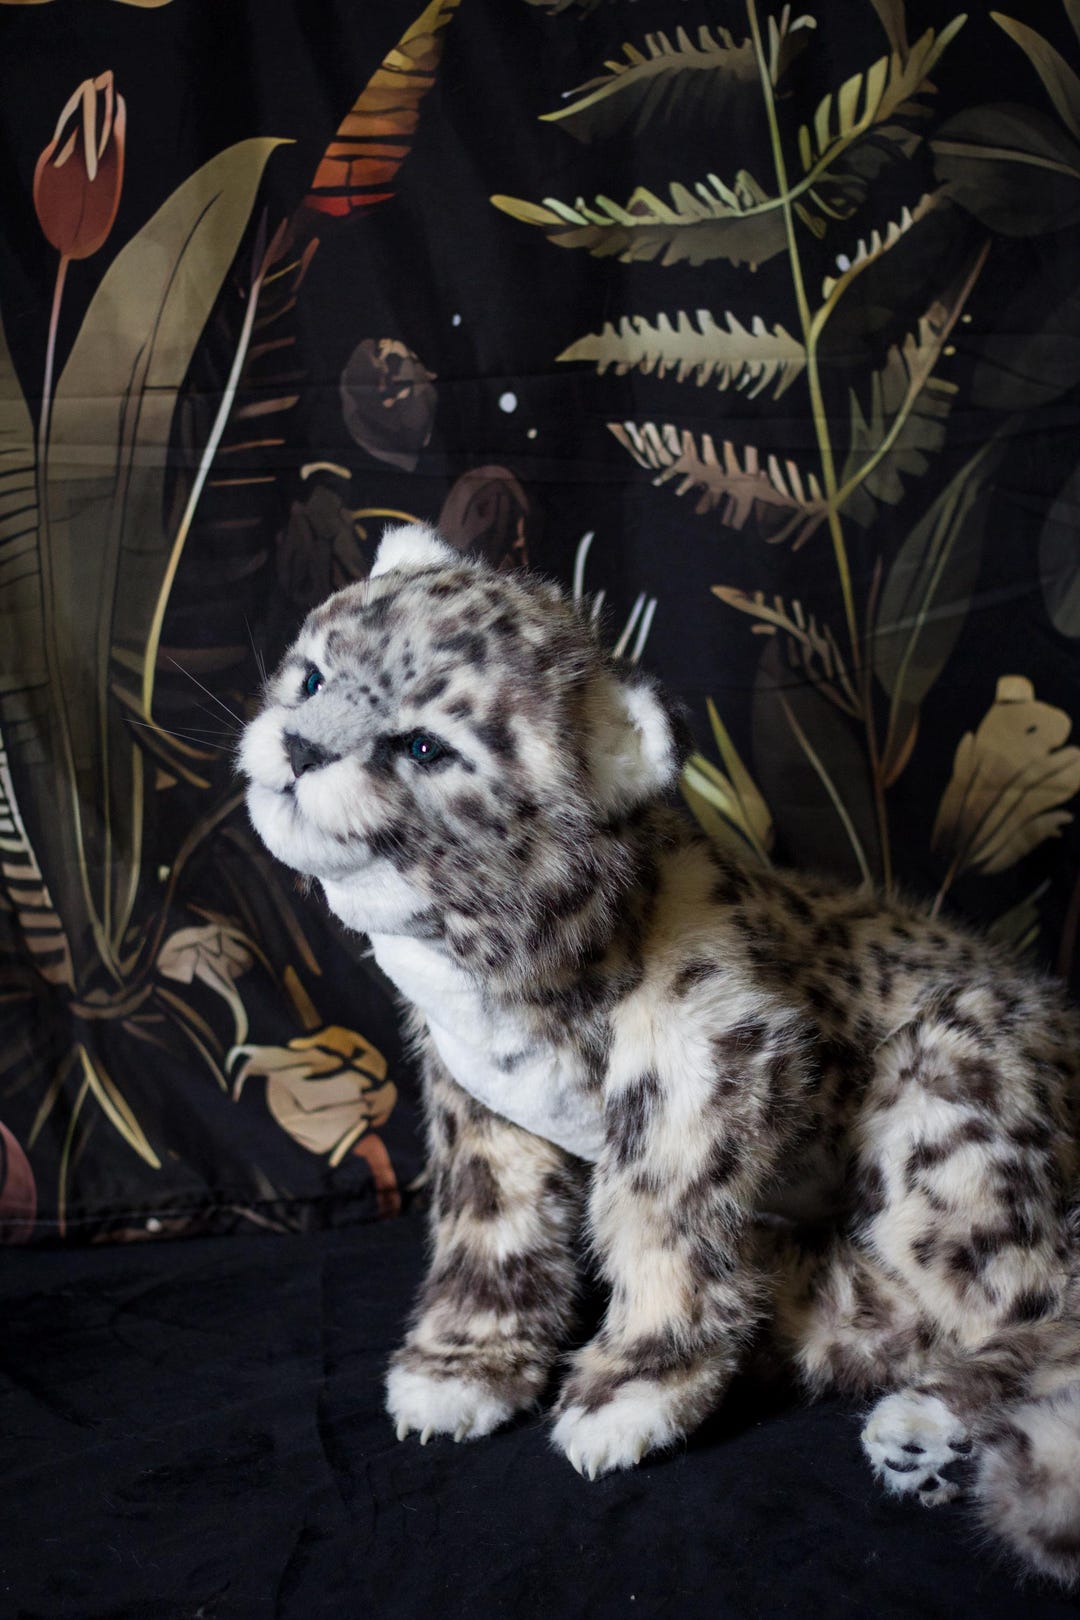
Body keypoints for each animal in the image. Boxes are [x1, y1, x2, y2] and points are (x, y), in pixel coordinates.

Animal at [240, 521, 1080, 1585]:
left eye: (426, 746)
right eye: (311, 675)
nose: (302, 745)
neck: (479, 977)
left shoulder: (705, 1069)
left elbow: (659, 1221)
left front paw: (634, 1390)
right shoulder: (486, 1108)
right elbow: (489, 1224)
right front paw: (461, 1365)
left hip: (947, 1112)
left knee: (1036, 1293)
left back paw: (930, 1424)